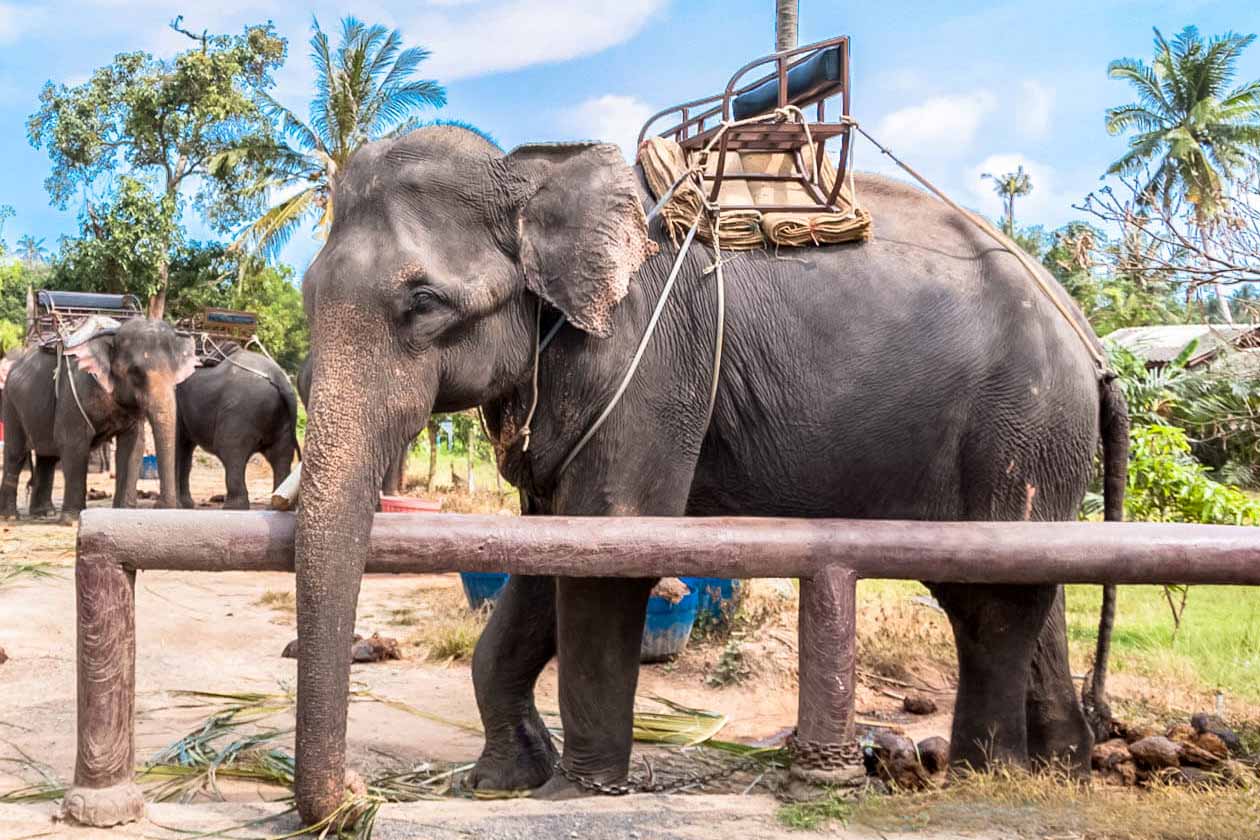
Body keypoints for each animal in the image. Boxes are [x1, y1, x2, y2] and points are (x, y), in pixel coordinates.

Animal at [0, 318, 197, 519]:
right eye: (135, 372)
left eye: (175, 374)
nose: (159, 505)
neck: (113, 334)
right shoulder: (73, 393)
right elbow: (73, 442)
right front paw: (71, 519)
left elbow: (133, 445)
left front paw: (124, 511)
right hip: (10, 403)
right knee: (16, 454)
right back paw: (11, 516)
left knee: (47, 457)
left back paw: (44, 513)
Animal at [175, 349, 300, 510]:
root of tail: (280, 379)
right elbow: (184, 448)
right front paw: (185, 505)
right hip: (281, 418)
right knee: (280, 454)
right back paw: (278, 506)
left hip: (241, 411)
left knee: (229, 450)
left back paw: (232, 507)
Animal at [291, 126, 1128, 823]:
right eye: (304, 294)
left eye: (424, 302)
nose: (358, 800)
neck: (534, 173)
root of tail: (1091, 343)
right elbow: (551, 545)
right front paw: (499, 781)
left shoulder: (646, 358)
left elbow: (606, 546)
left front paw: (575, 792)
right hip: (1035, 440)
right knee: (1030, 584)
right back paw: (1062, 765)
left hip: (1021, 418)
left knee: (989, 595)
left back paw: (985, 775)